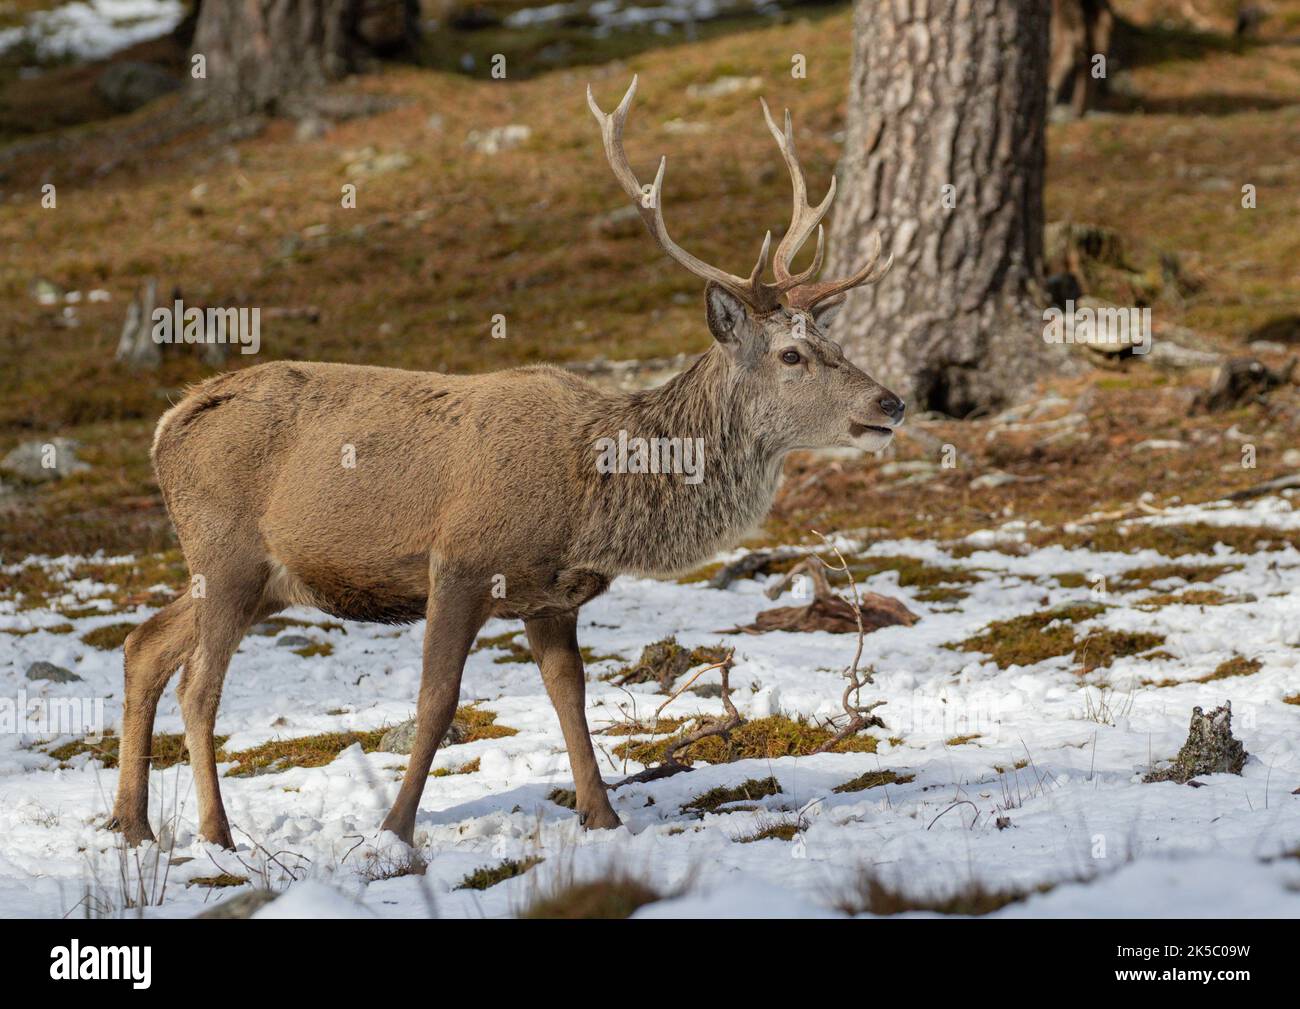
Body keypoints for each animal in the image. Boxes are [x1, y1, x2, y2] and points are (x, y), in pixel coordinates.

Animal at [107, 77, 904, 850]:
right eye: (792, 354)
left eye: (832, 342)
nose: (892, 401)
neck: (593, 498)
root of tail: (167, 424)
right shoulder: (459, 561)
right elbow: (436, 702)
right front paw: (394, 832)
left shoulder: (550, 598)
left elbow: (570, 699)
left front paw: (604, 819)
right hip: (228, 552)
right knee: (199, 686)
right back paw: (217, 836)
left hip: (261, 576)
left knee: (144, 644)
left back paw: (133, 824)